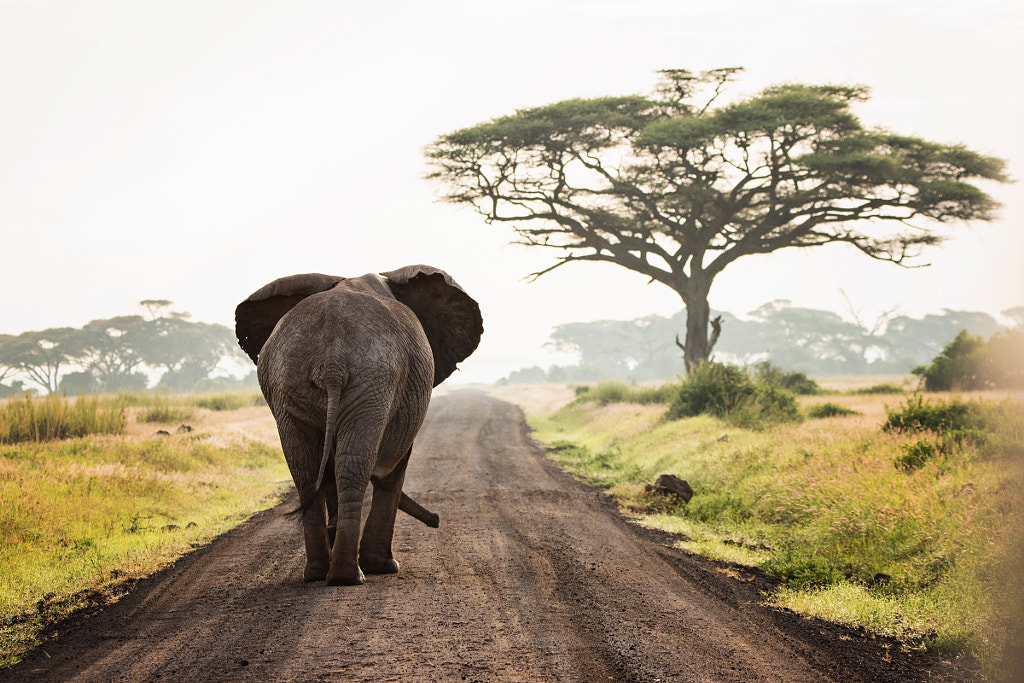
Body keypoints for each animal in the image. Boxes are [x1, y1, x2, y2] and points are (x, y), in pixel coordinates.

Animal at [235, 265, 482, 585]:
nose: (437, 521)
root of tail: (331, 364)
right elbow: (394, 468)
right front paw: (384, 566)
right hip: (373, 382)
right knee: (353, 465)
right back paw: (348, 575)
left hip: (289, 384)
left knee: (307, 471)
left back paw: (317, 573)